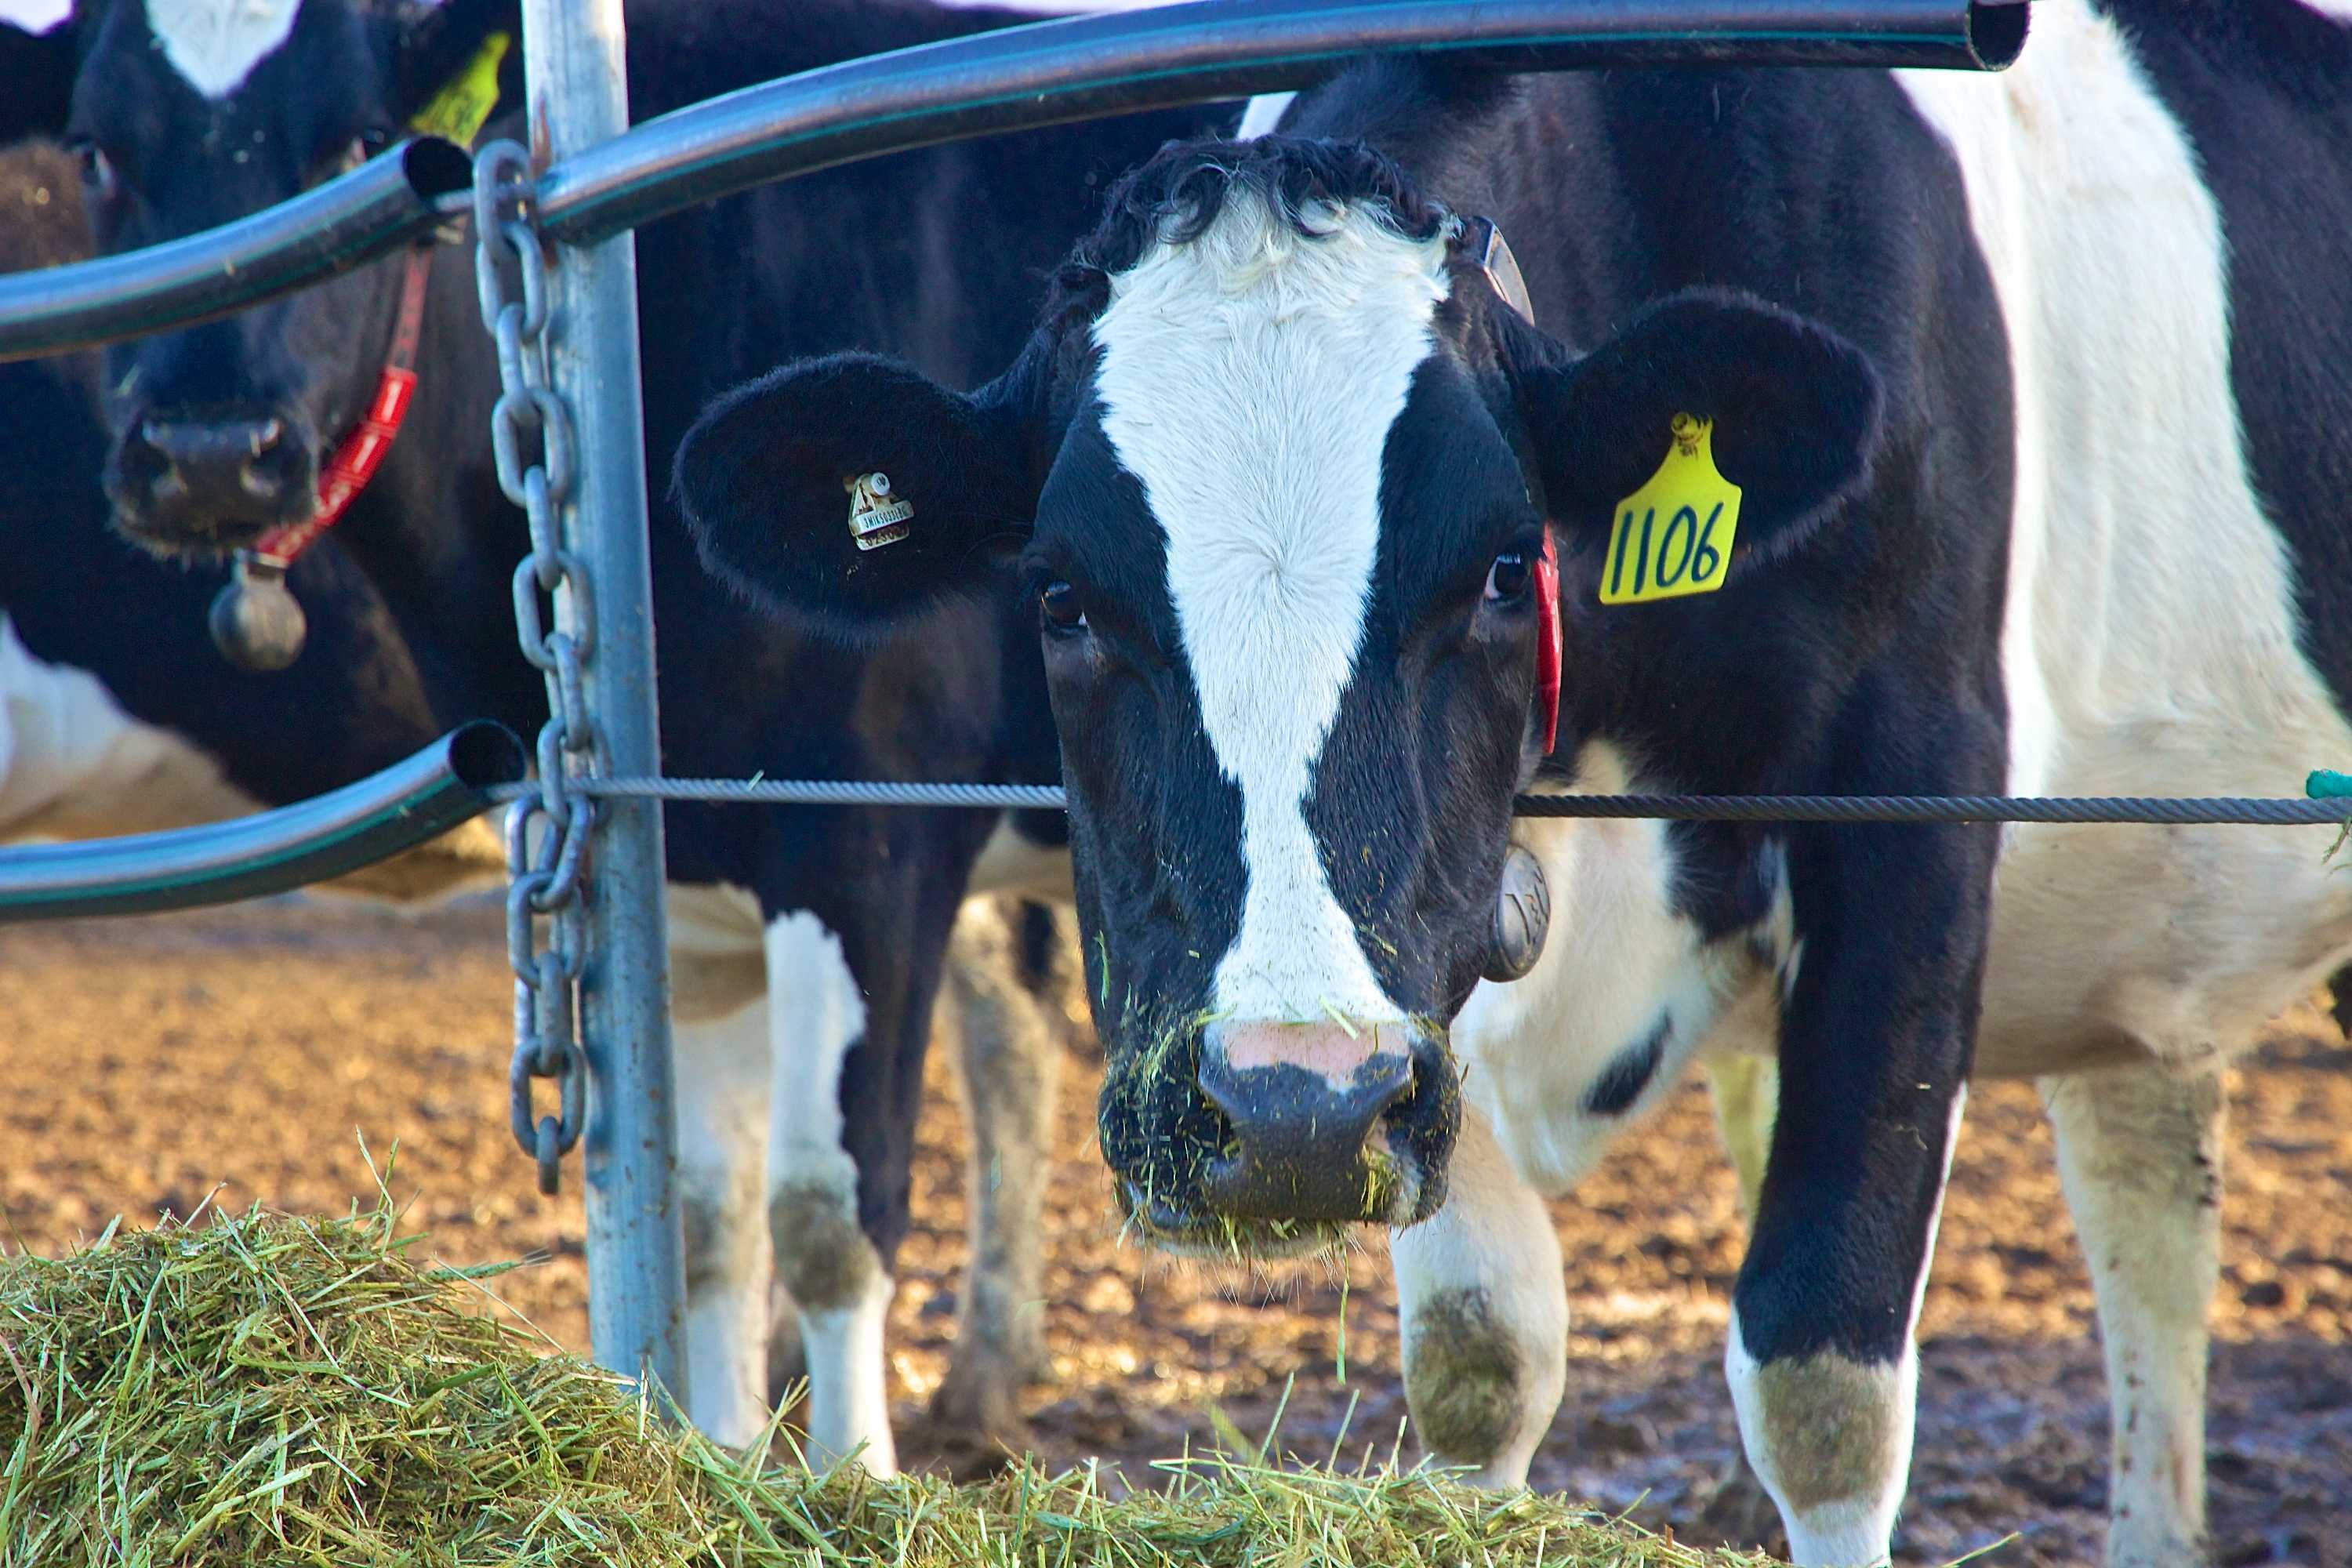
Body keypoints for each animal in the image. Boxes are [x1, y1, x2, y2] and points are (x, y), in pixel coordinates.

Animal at [0, 0, 1228, 1474]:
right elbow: (706, 1224)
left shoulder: (871, 834)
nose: (203, 452)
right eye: (96, 149)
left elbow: (830, 1216)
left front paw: (854, 1487)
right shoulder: (696, 862)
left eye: (356, 134)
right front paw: (725, 1465)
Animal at [673, 1, 2352, 1559]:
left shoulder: (1912, 826)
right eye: (1063, 600)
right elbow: (1481, 1361)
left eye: (1497, 567)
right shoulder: (1429, 971)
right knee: (2148, 1186)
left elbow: (1824, 1377)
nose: (1284, 1107)